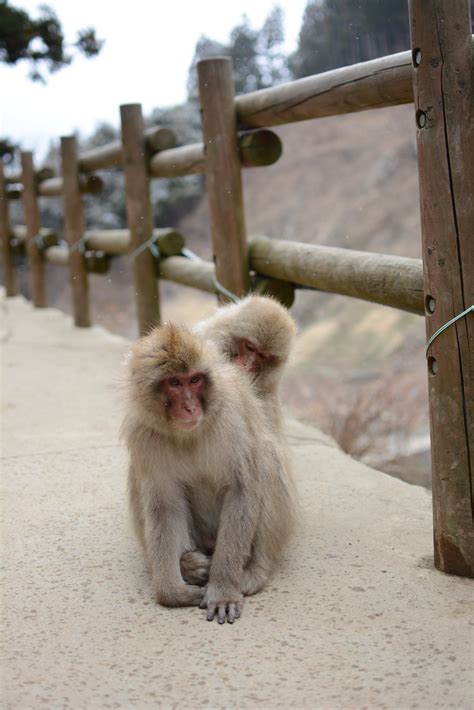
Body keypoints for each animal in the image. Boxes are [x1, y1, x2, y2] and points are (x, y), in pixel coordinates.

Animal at [122, 323, 297, 623]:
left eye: (194, 380)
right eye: (174, 383)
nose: (190, 407)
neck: (190, 433)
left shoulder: (231, 420)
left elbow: (241, 489)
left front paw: (223, 589)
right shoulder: (143, 434)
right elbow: (165, 506)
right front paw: (172, 592)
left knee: (265, 457)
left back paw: (253, 571)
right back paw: (188, 564)